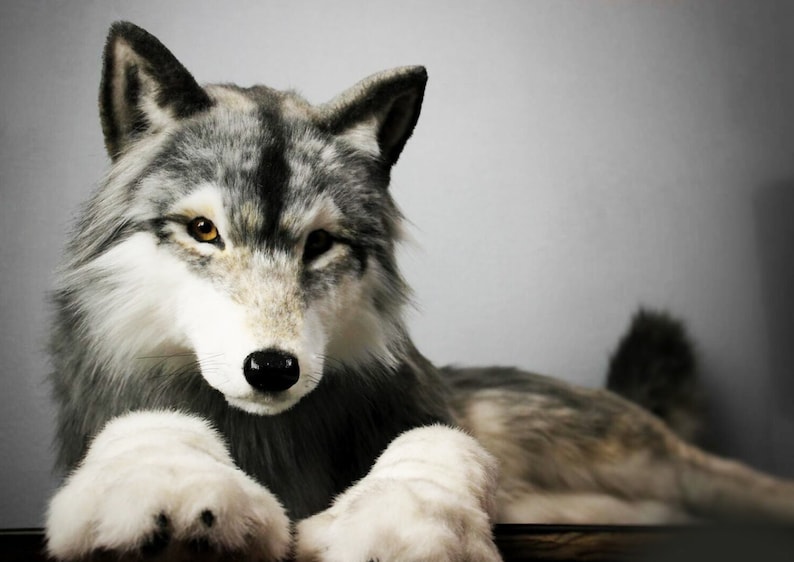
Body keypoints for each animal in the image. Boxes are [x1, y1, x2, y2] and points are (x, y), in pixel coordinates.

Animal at [45, 21, 794, 562]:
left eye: (321, 243)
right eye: (204, 230)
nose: (273, 368)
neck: (275, 439)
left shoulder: (433, 423)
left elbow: (430, 446)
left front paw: (395, 526)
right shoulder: (129, 411)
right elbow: (152, 429)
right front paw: (170, 497)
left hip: (650, 462)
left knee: (736, 480)